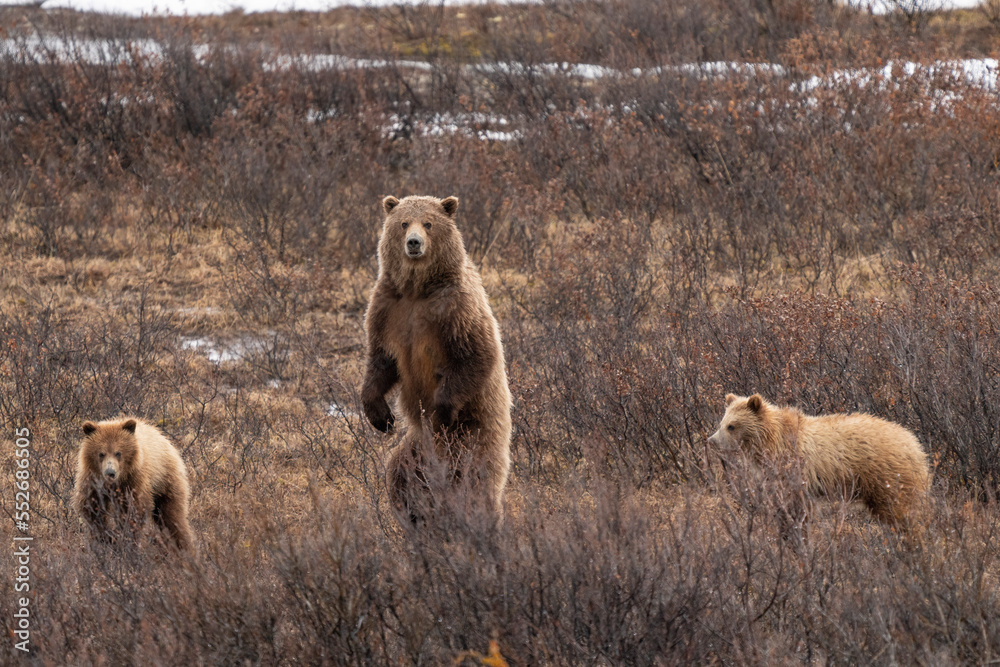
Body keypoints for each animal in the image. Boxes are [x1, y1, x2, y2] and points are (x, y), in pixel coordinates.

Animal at [74, 417, 193, 551]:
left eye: (118, 453)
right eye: (101, 453)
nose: (110, 472)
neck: (115, 483)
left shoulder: (135, 480)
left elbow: (135, 509)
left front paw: (127, 538)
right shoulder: (92, 482)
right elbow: (92, 509)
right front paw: (107, 538)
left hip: (166, 481)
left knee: (173, 517)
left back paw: (185, 547)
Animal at [361, 194, 512, 528]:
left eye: (429, 223)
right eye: (403, 222)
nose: (414, 242)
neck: (418, 289)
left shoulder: (455, 309)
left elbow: (476, 355)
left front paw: (440, 412)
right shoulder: (387, 308)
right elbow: (381, 360)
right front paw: (380, 415)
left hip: (472, 435)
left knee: (472, 481)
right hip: (415, 448)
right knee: (399, 473)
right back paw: (416, 517)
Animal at [708, 393, 931, 528]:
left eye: (731, 426)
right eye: (721, 423)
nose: (712, 441)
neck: (772, 443)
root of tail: (915, 445)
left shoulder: (795, 470)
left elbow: (797, 506)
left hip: (888, 478)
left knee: (901, 512)